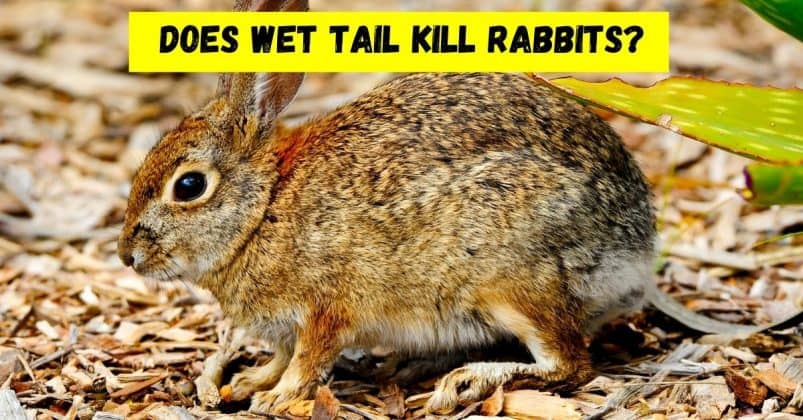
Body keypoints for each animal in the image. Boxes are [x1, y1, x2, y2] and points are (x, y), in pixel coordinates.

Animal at [119, 0, 794, 414]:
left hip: (512, 277)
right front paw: (250, 382)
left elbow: (308, 361)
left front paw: (275, 398)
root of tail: (636, 246)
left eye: (188, 186)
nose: (128, 255)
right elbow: (282, 354)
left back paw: (468, 381)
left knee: (571, 363)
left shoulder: (328, 309)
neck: (262, 209)